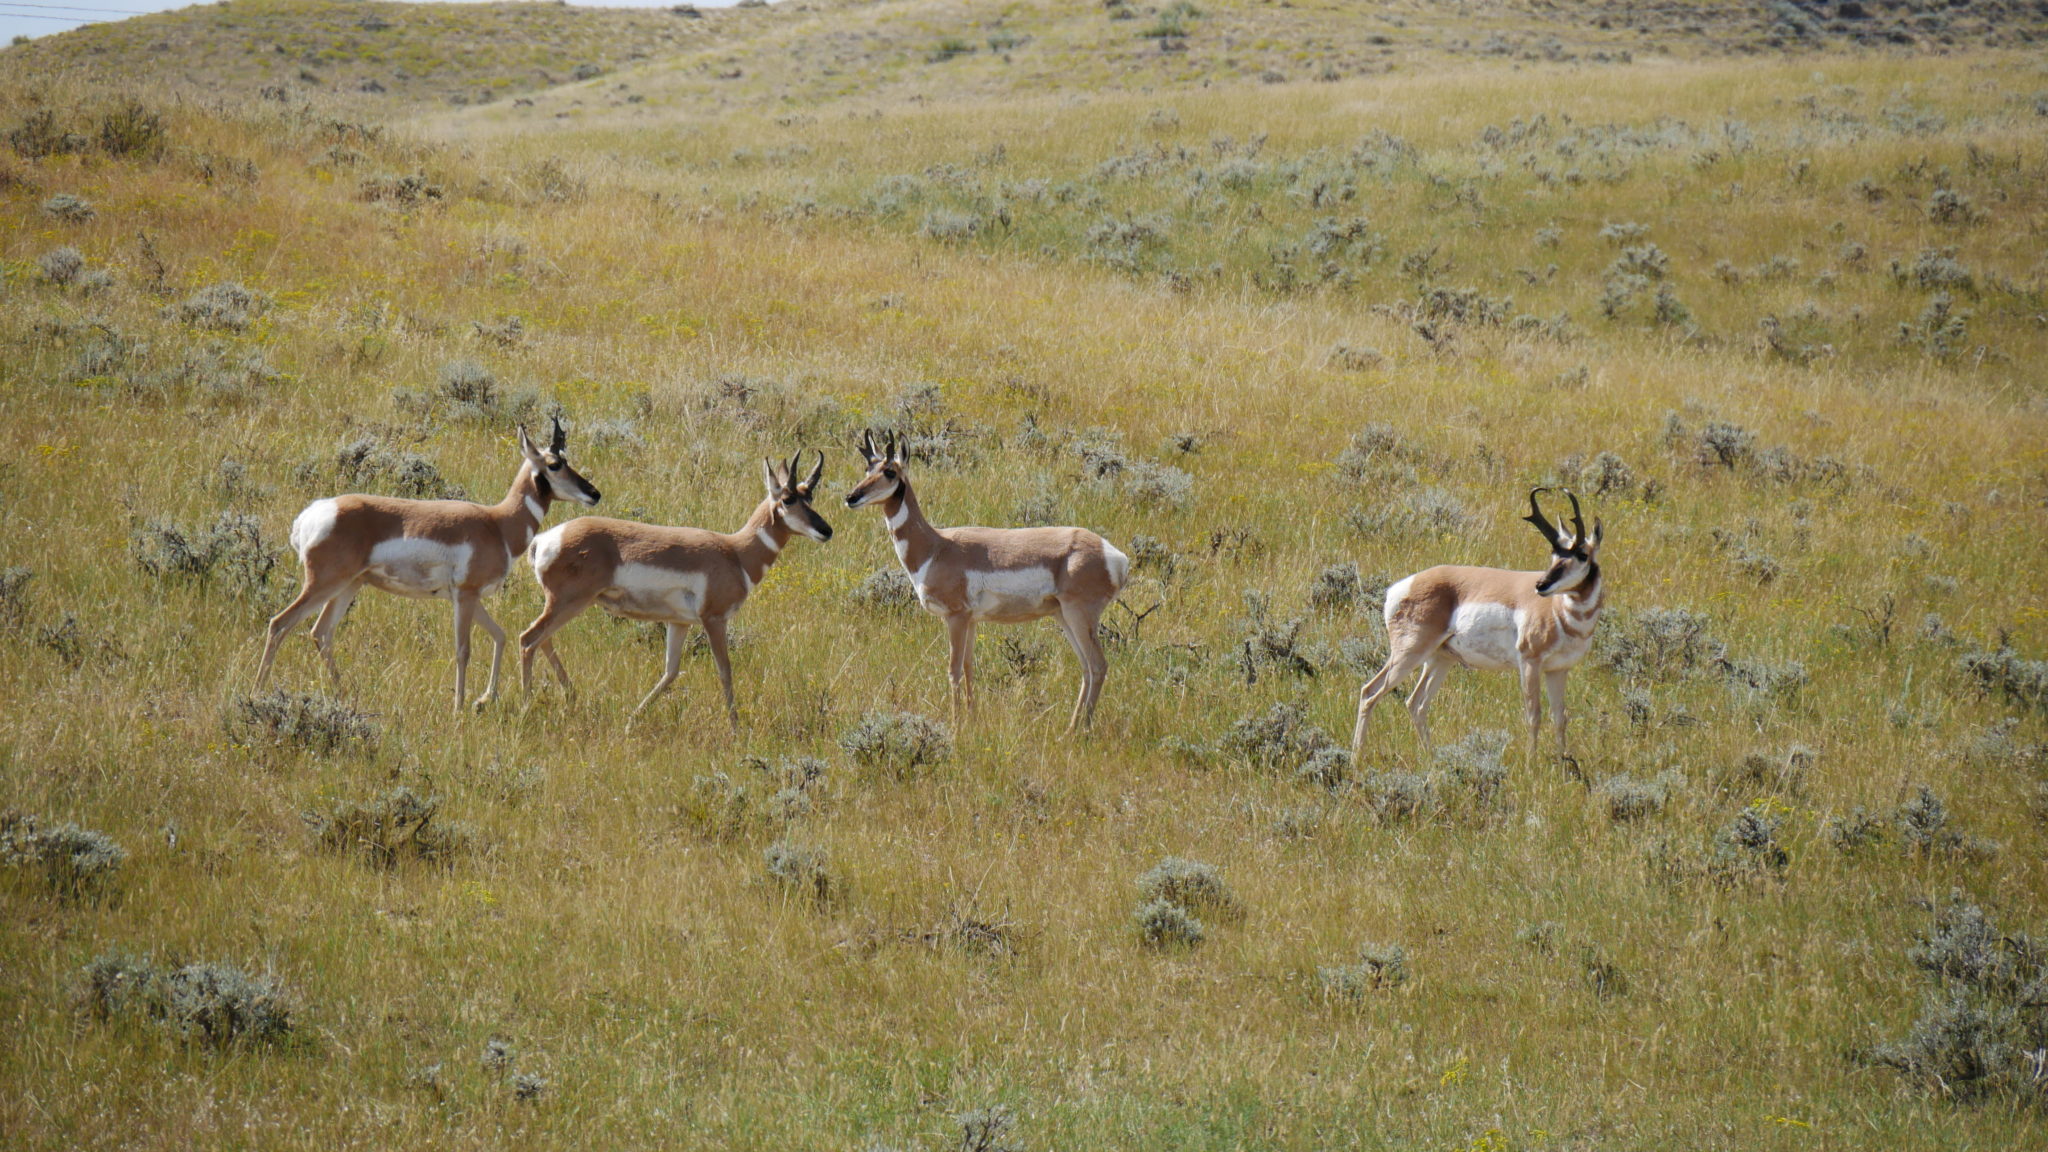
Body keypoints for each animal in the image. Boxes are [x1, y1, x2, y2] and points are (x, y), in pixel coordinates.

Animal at [254, 418, 602, 711]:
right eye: (555, 464)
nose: (594, 493)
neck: (497, 523)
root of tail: (312, 514)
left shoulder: (470, 597)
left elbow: (500, 635)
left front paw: (485, 697)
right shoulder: (465, 596)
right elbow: (463, 650)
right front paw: (458, 708)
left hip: (348, 586)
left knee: (321, 632)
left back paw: (343, 694)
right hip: (324, 584)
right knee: (280, 623)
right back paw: (257, 694)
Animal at [517, 450, 833, 725]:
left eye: (810, 495)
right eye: (788, 498)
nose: (826, 530)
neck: (735, 551)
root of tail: (545, 539)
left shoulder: (679, 622)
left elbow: (670, 672)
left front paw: (631, 721)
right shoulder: (714, 620)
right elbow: (725, 670)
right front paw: (736, 728)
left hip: (567, 605)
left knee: (542, 639)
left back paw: (571, 696)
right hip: (569, 603)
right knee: (528, 638)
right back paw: (527, 706)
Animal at [844, 431, 1129, 731]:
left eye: (889, 471)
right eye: (867, 468)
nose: (851, 497)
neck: (936, 547)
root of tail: (1114, 555)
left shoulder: (956, 617)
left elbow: (953, 669)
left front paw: (956, 725)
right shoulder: (971, 620)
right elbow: (969, 666)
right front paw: (971, 719)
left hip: (1078, 614)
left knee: (1098, 665)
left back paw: (1081, 730)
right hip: (1063, 616)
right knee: (1086, 667)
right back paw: (1069, 729)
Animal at [1351, 488, 1605, 766]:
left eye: (1582, 554)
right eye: (1554, 554)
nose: (1541, 585)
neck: (1560, 612)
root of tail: (1402, 586)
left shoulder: (1558, 670)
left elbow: (1560, 717)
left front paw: (1564, 763)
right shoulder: (1529, 663)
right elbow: (1533, 714)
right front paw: (1531, 764)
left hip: (1440, 659)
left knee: (1416, 702)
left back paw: (1431, 758)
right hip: (1409, 654)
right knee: (1370, 692)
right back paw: (1355, 759)